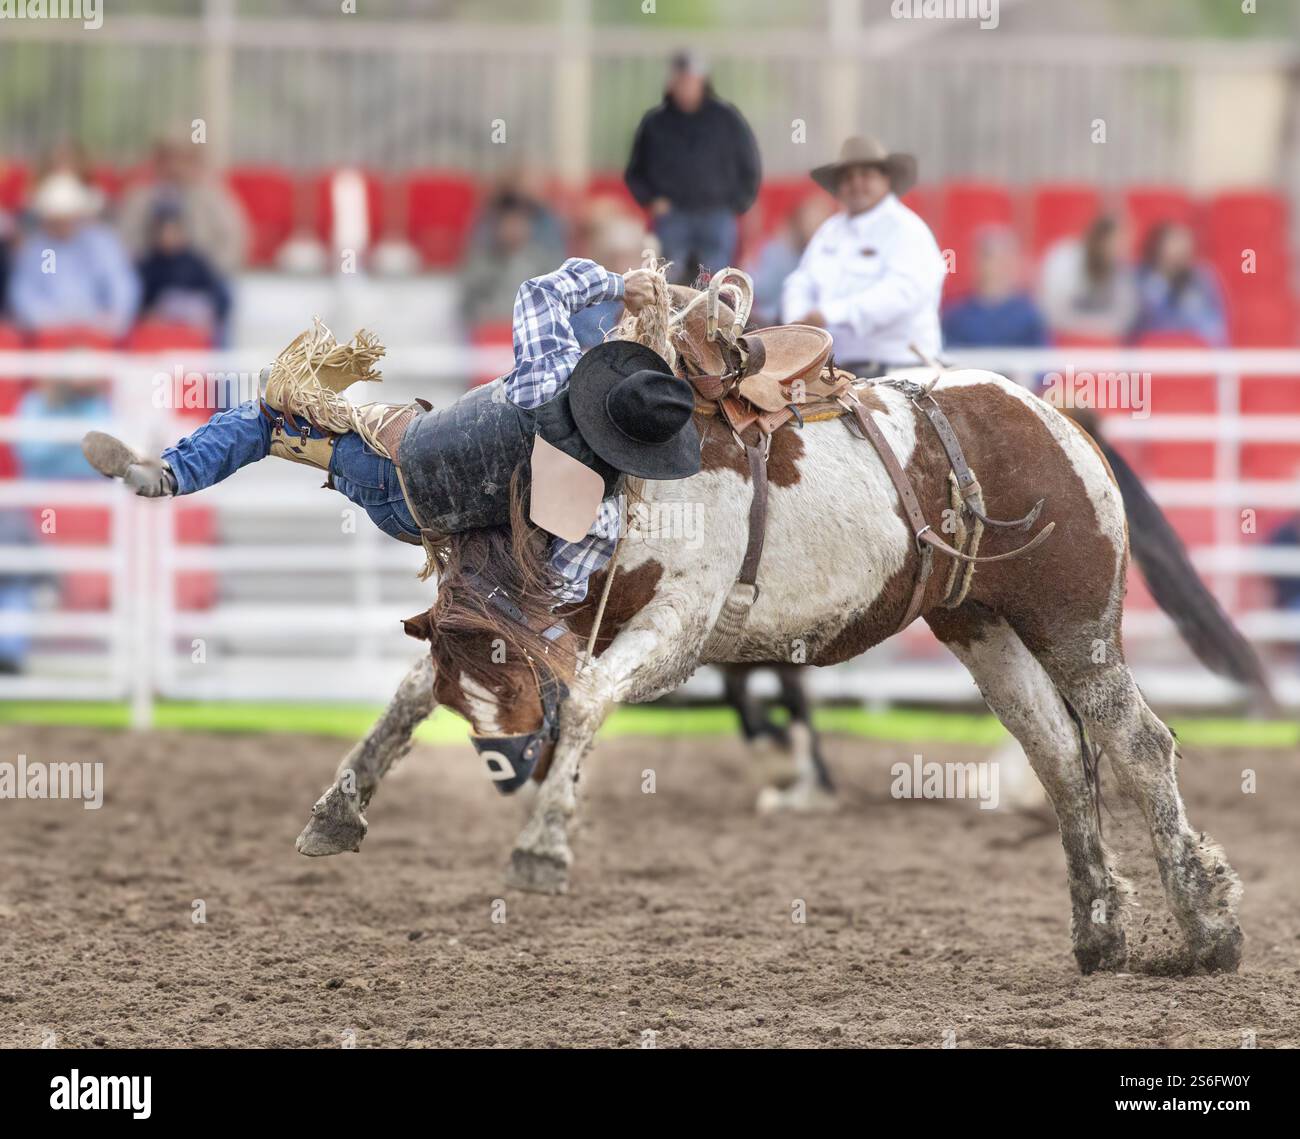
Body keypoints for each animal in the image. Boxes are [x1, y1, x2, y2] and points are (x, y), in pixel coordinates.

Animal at [296, 273, 1243, 976]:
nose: (502, 765)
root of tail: (1058, 420)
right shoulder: (561, 610)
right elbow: (411, 695)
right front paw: (338, 807)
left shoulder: (677, 624)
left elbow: (593, 697)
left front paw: (543, 845)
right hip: (982, 626)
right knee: (1058, 756)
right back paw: (1099, 931)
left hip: (1073, 625)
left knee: (1137, 744)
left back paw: (1207, 928)